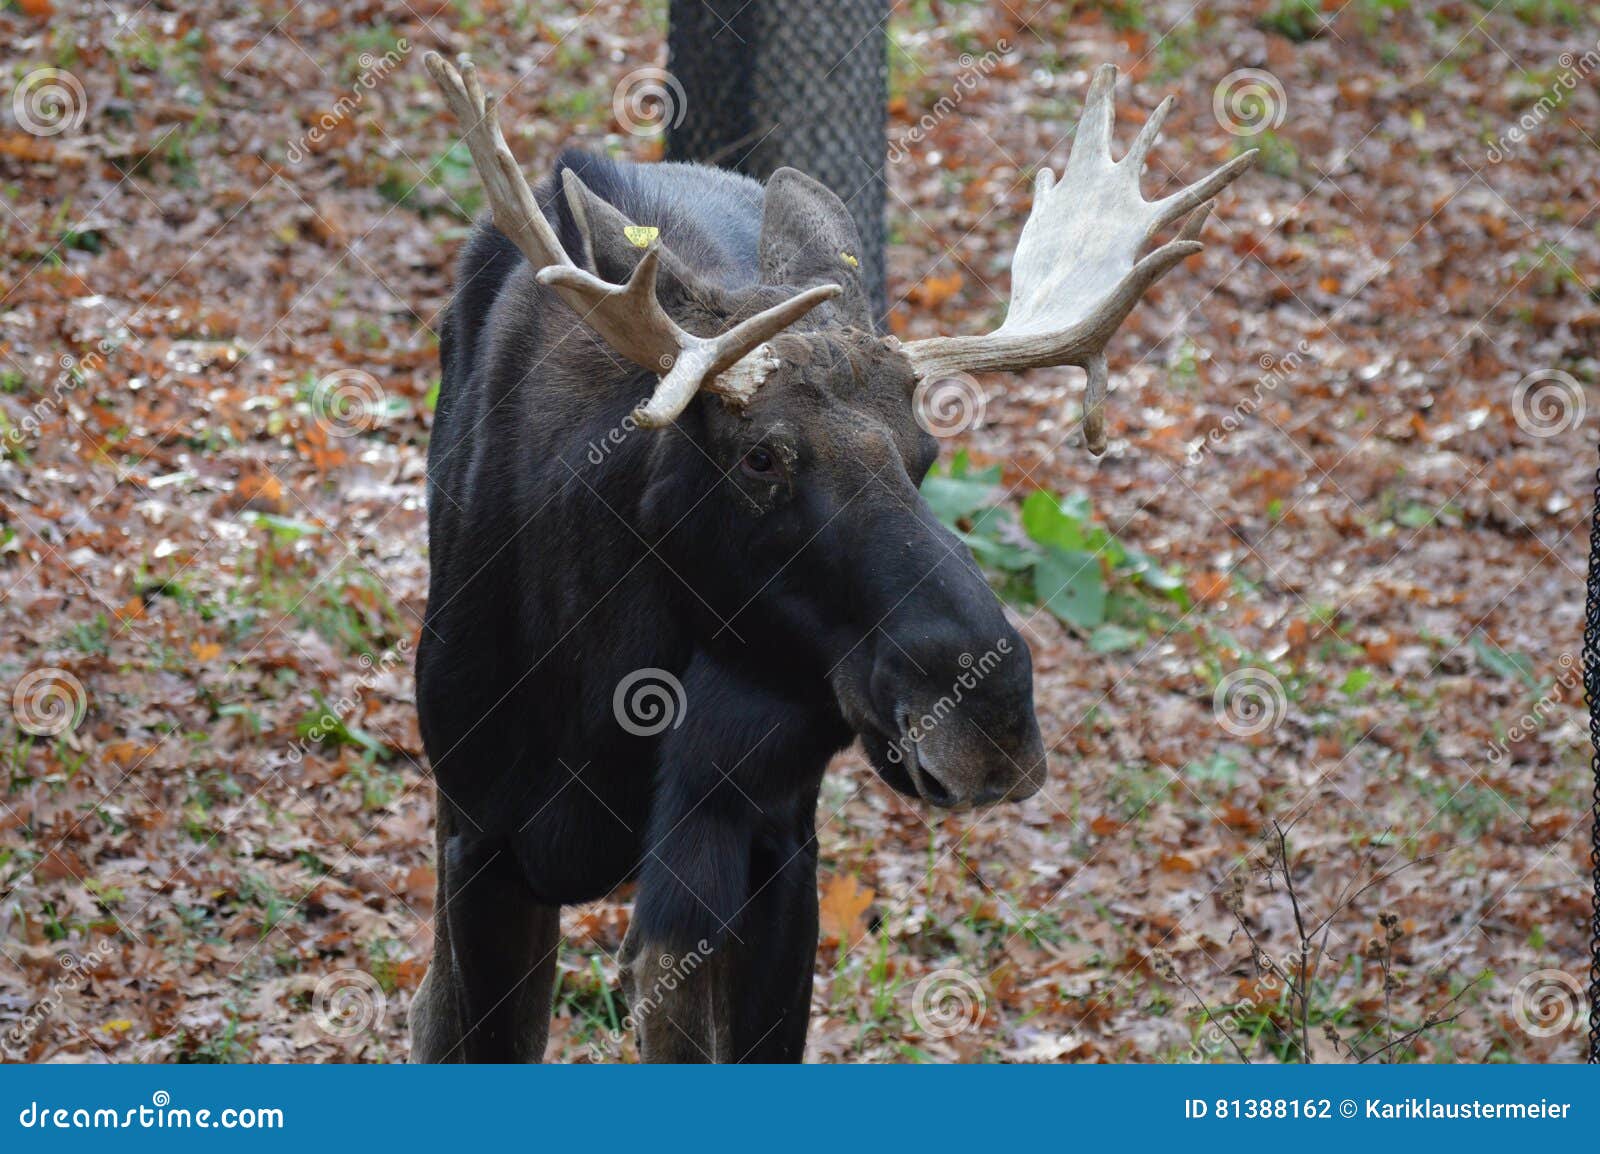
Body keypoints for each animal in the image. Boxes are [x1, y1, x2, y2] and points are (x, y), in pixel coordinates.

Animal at [409, 50, 1252, 1062]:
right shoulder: (481, 839)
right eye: (761, 457)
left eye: (924, 453)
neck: (603, 684)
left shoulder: (770, 840)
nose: (997, 719)